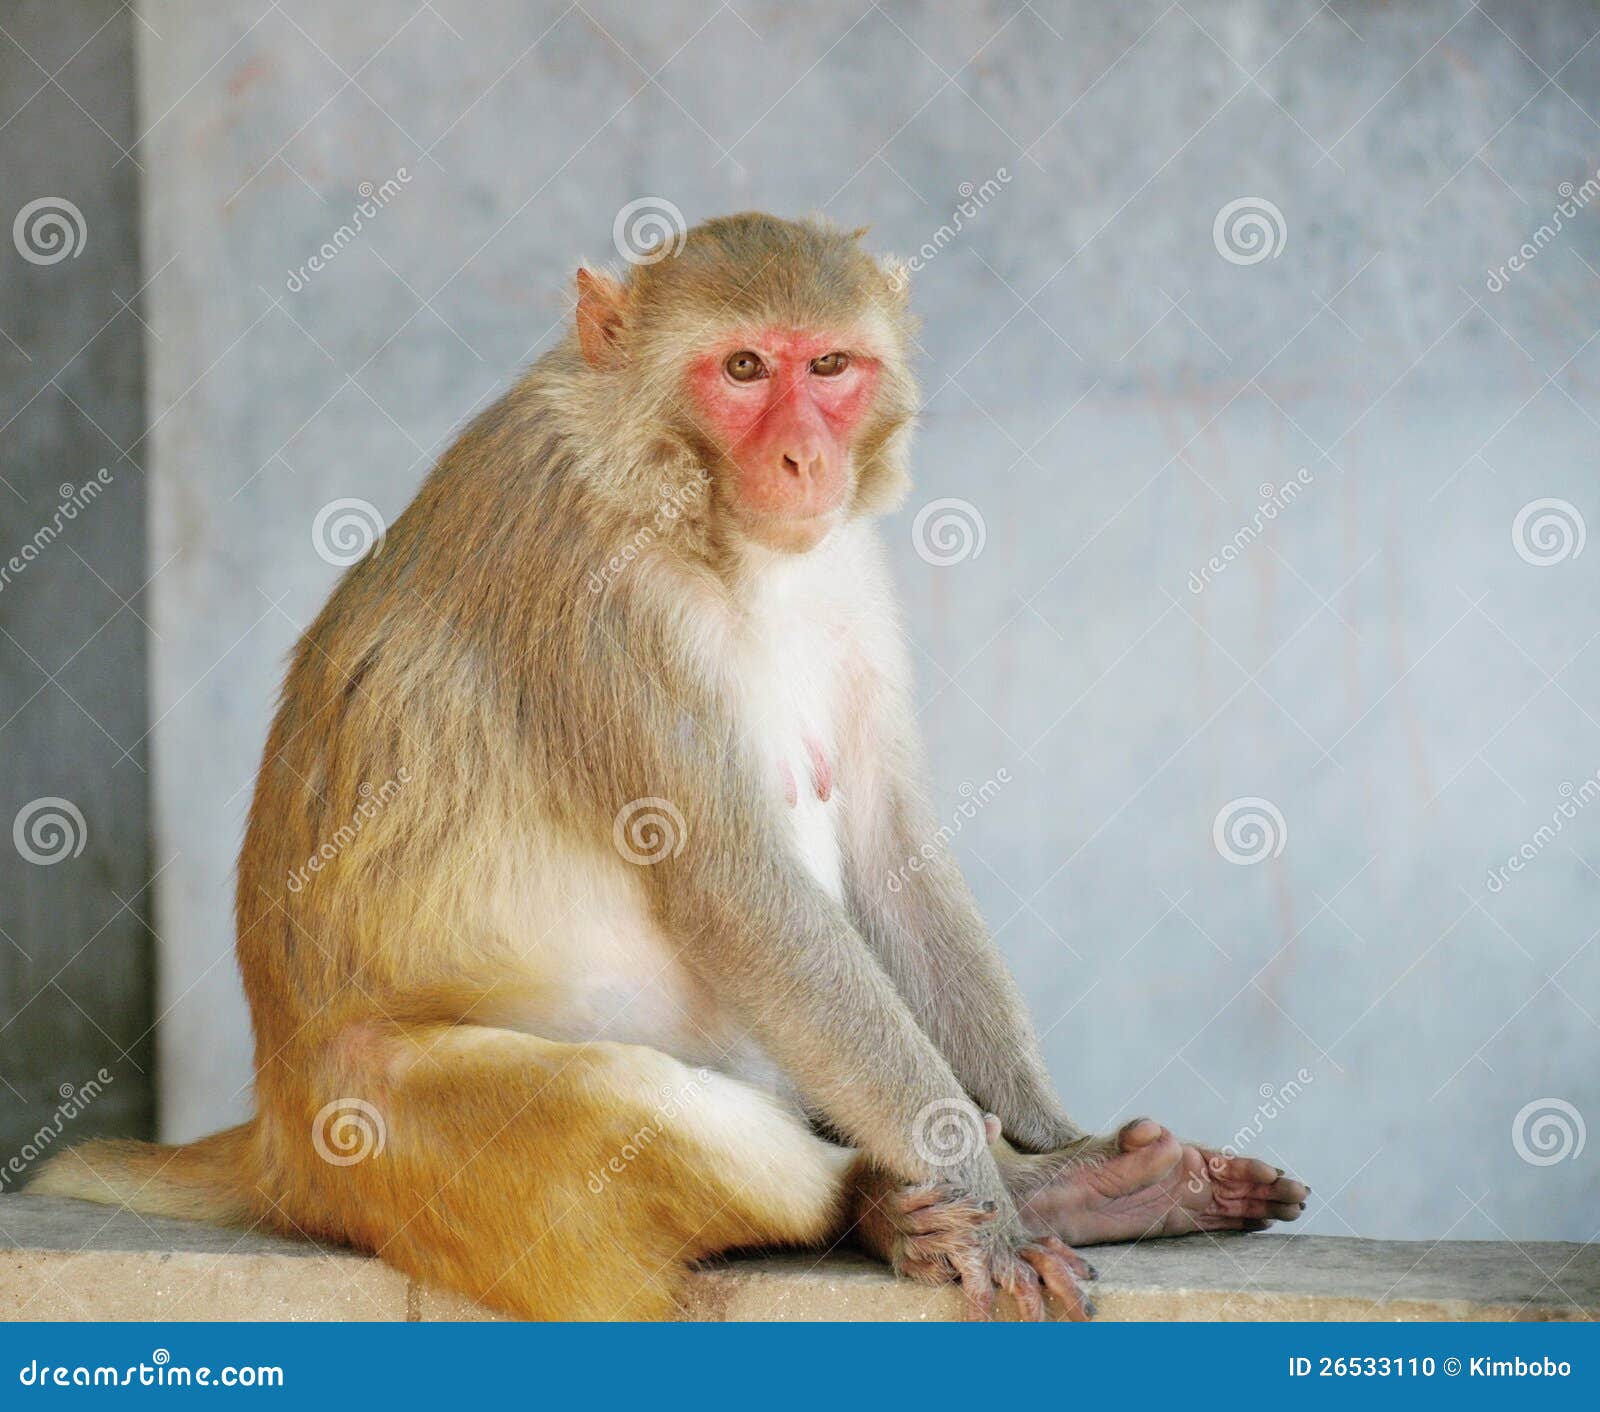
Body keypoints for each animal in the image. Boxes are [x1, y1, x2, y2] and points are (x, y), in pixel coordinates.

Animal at [33, 213, 1306, 1321]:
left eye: (827, 364)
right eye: (740, 368)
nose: (801, 454)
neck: (690, 503)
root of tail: (273, 1134)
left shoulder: (844, 564)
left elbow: (888, 849)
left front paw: (1047, 1132)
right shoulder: (599, 586)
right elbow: (736, 891)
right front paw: (988, 1206)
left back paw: (1076, 1182)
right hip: (382, 1141)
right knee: (621, 1100)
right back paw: (882, 1207)